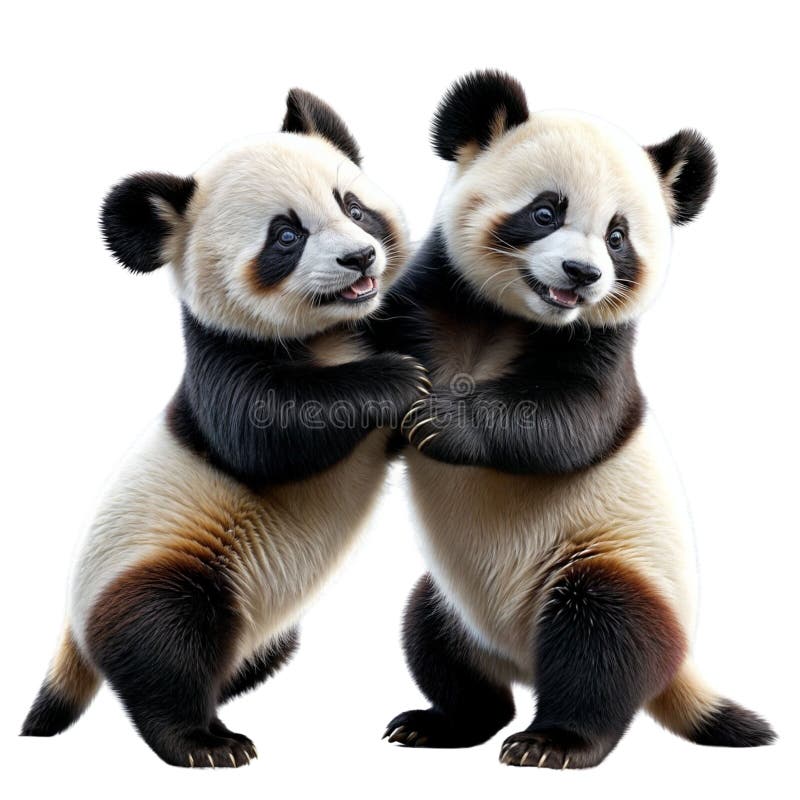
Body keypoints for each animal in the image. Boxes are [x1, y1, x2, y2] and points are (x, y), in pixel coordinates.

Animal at [21, 88, 430, 768]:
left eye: (354, 208)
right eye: (286, 235)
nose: (359, 258)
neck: (330, 334)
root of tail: (73, 631)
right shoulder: (220, 359)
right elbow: (265, 431)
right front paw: (399, 381)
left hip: (261, 633)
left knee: (237, 661)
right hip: (158, 563)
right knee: (166, 647)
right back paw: (203, 743)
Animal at [373, 71, 775, 769]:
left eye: (618, 235)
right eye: (545, 212)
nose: (582, 275)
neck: (509, 317)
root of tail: (520, 658)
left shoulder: (603, 351)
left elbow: (569, 421)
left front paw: (436, 422)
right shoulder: (431, 294)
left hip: (613, 562)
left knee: (600, 644)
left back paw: (552, 741)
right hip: (451, 604)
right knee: (434, 641)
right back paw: (439, 724)